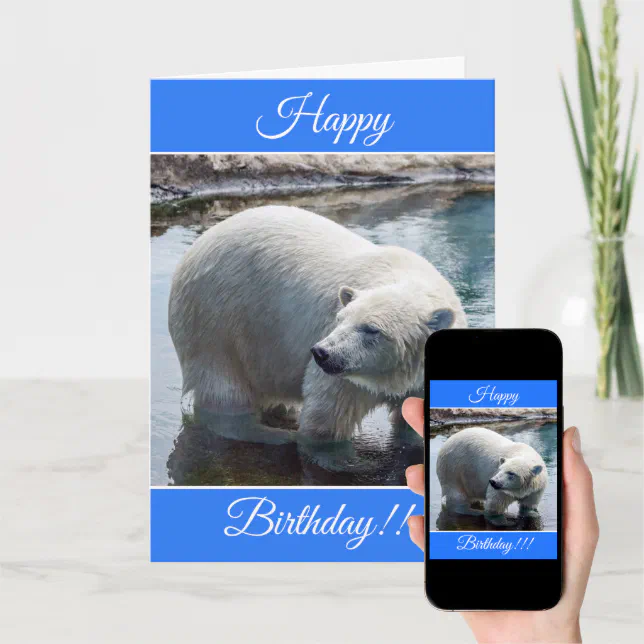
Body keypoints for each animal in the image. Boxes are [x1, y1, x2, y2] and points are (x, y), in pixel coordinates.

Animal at [169, 205, 467, 441]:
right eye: (340, 320)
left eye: (372, 329)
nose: (322, 352)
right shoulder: (343, 378)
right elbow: (326, 420)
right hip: (216, 322)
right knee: (225, 395)